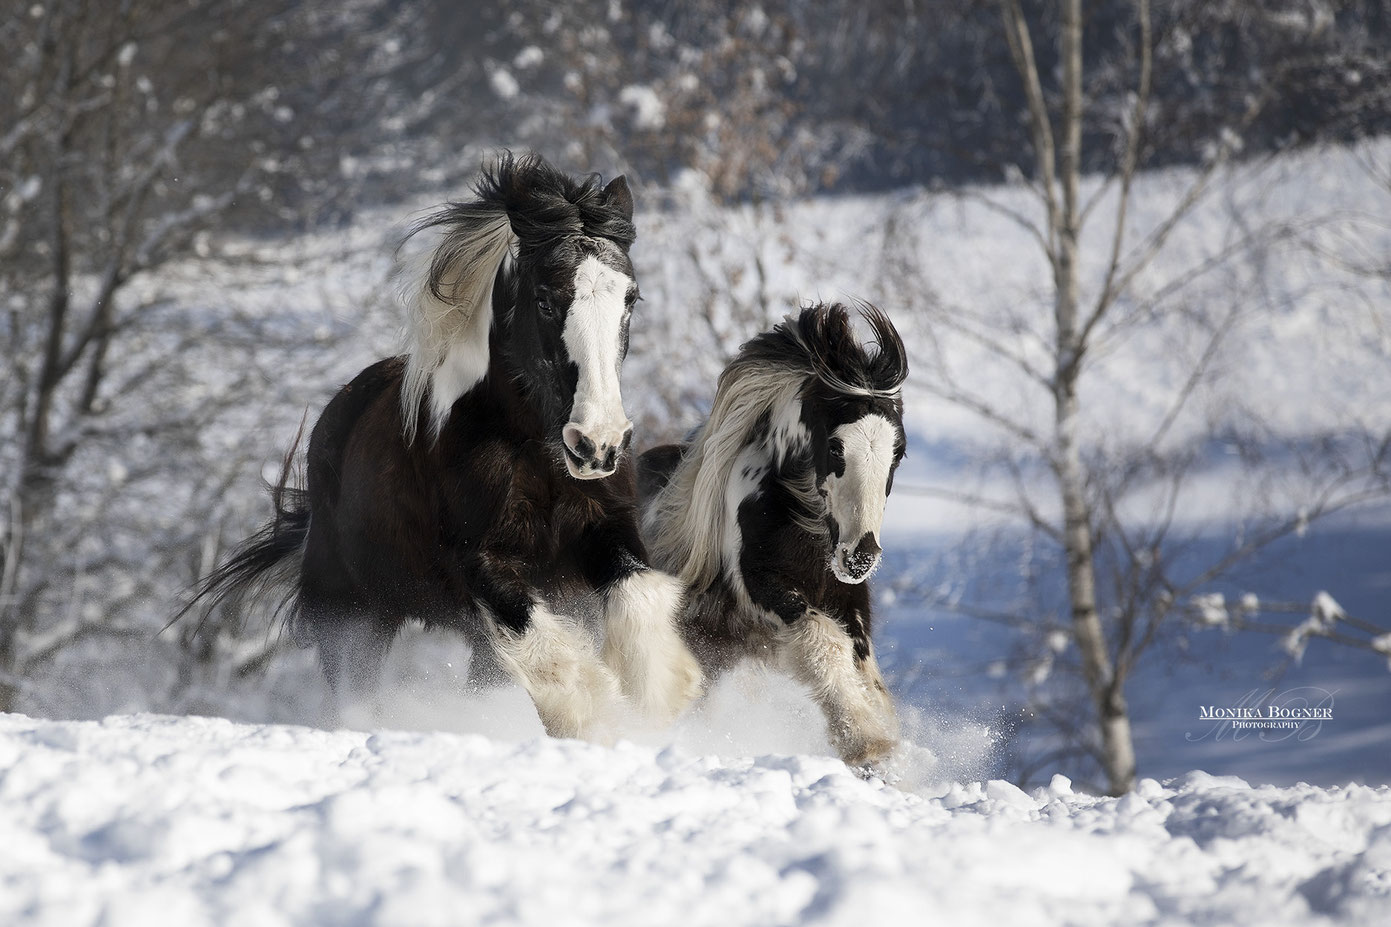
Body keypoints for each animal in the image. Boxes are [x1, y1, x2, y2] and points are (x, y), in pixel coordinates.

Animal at [186, 153, 702, 739]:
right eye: (545, 300)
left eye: (630, 298)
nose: (597, 444)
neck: (530, 444)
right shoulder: (481, 563)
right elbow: (554, 664)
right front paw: (597, 723)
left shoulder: (606, 529)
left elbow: (638, 600)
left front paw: (661, 703)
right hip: (355, 615)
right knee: (353, 692)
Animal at [637, 303, 909, 766]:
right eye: (835, 447)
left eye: (899, 452)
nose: (860, 556)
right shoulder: (765, 587)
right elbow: (822, 642)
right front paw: (866, 744)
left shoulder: (849, 601)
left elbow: (868, 677)